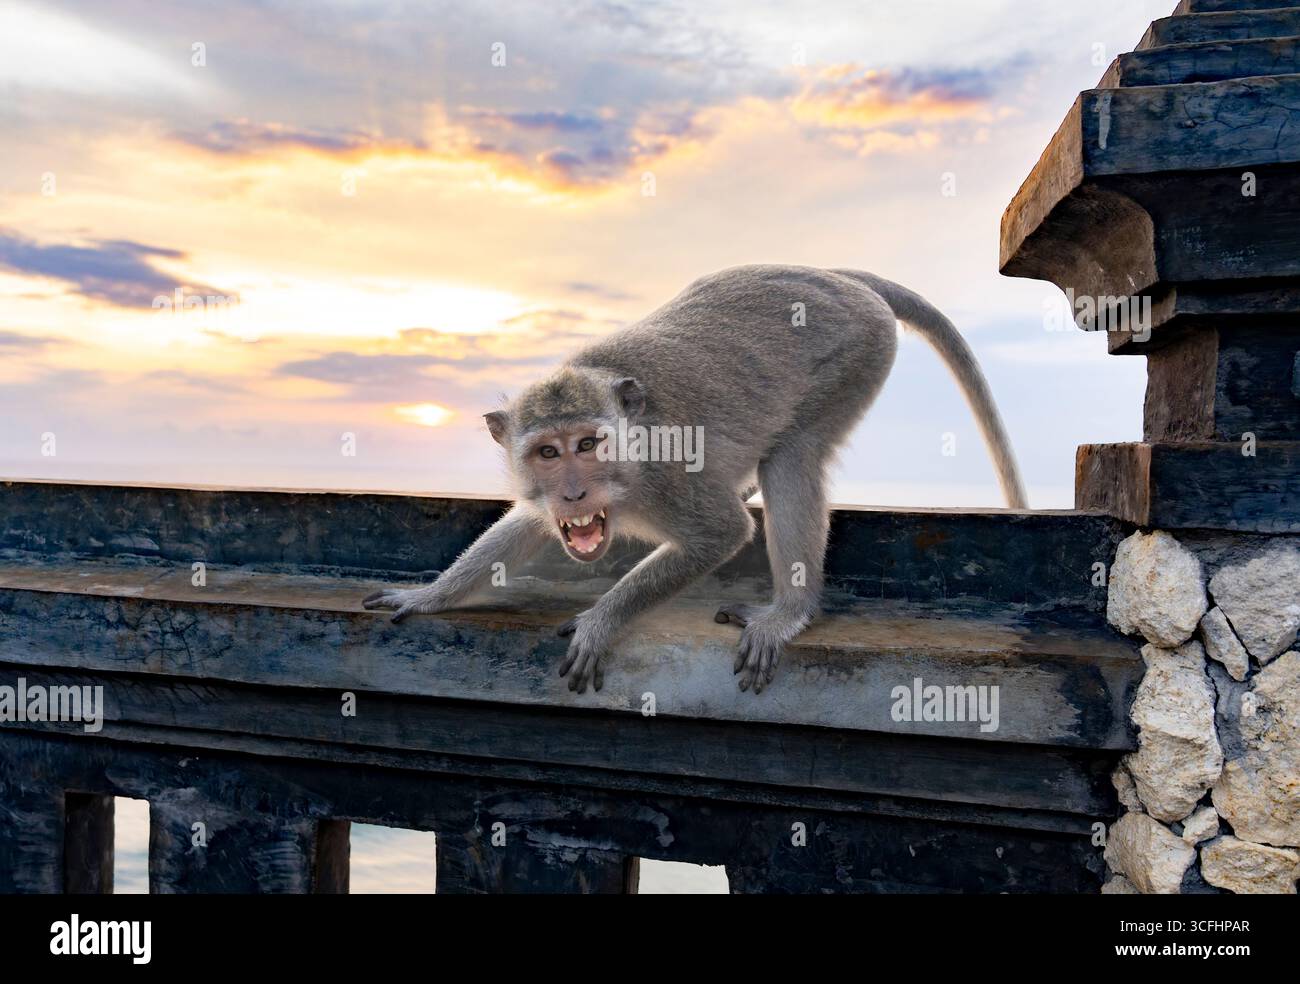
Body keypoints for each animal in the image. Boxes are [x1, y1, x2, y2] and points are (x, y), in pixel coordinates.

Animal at [364, 265, 1026, 694]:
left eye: (589, 444)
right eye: (547, 452)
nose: (574, 491)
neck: (628, 464)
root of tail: (833, 274)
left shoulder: (669, 475)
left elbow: (721, 534)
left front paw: (602, 619)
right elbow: (527, 524)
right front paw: (429, 595)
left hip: (858, 353)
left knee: (791, 459)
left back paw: (789, 610)